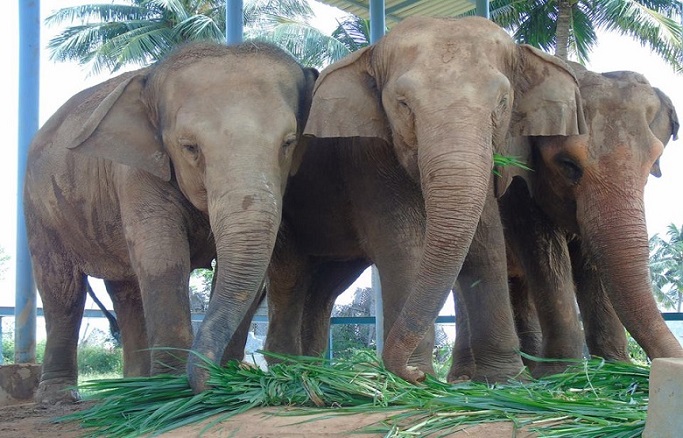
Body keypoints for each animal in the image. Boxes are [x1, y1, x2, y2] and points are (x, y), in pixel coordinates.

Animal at [23, 40, 317, 403]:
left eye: (288, 143)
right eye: (190, 147)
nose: (220, 378)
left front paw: (224, 381)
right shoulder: (137, 171)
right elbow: (164, 258)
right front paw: (171, 392)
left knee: (126, 292)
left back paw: (131, 386)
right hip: (39, 209)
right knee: (61, 287)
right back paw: (59, 397)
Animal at [263, 15, 586, 383]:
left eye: (503, 102)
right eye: (403, 104)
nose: (412, 372)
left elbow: (486, 243)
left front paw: (506, 380)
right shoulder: (368, 155)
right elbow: (404, 246)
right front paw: (418, 378)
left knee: (324, 284)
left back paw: (309, 369)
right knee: (292, 275)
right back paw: (289, 370)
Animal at [450, 63, 682, 381]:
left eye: (653, 163)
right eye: (568, 164)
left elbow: (591, 259)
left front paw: (614, 367)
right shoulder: (518, 184)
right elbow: (542, 250)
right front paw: (561, 374)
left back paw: (530, 367)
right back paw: (465, 377)